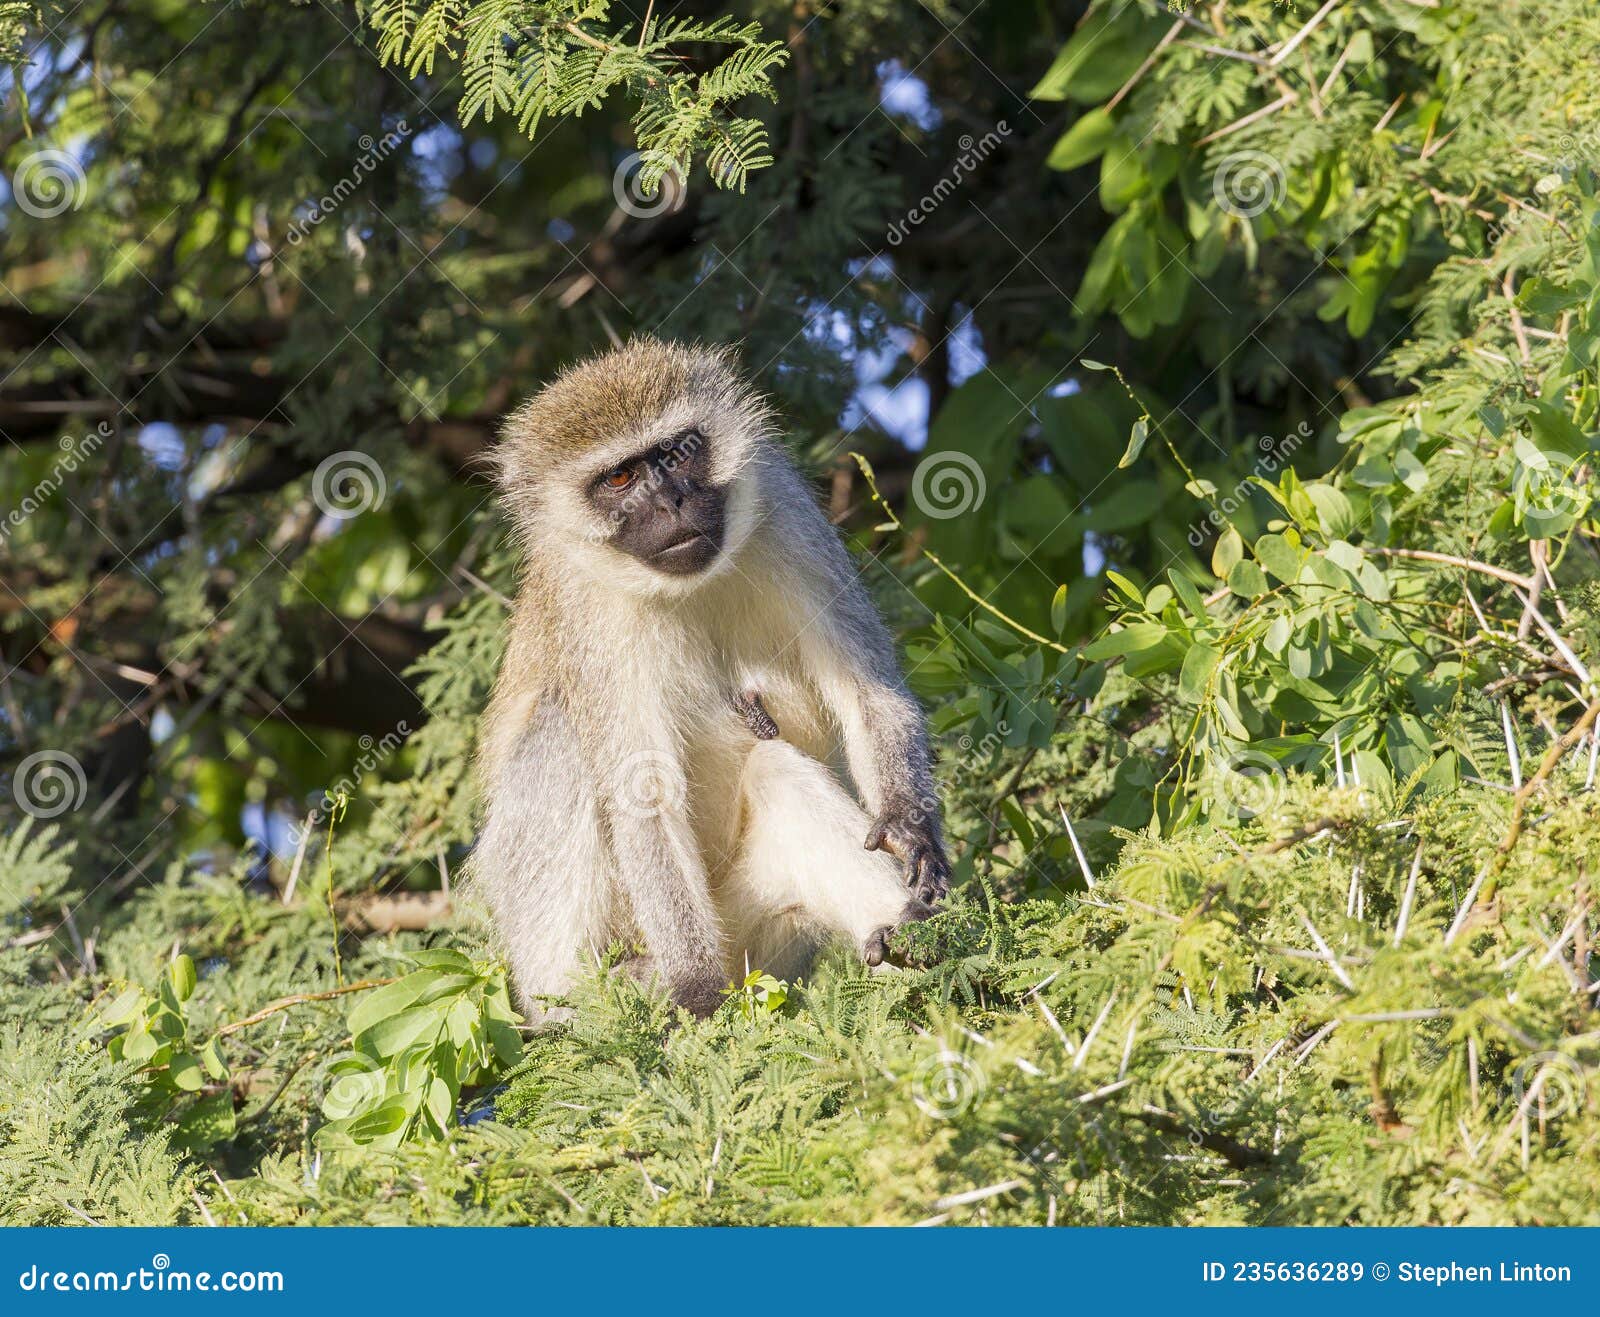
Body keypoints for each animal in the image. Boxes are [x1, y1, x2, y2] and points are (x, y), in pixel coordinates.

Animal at [473, 337, 950, 1022]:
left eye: (677, 453)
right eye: (620, 478)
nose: (670, 502)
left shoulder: (787, 514)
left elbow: (866, 692)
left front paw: (909, 826)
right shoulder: (589, 610)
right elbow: (641, 794)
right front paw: (697, 993)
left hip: (754, 939)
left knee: (777, 774)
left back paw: (912, 942)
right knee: (556, 733)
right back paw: (580, 1004)